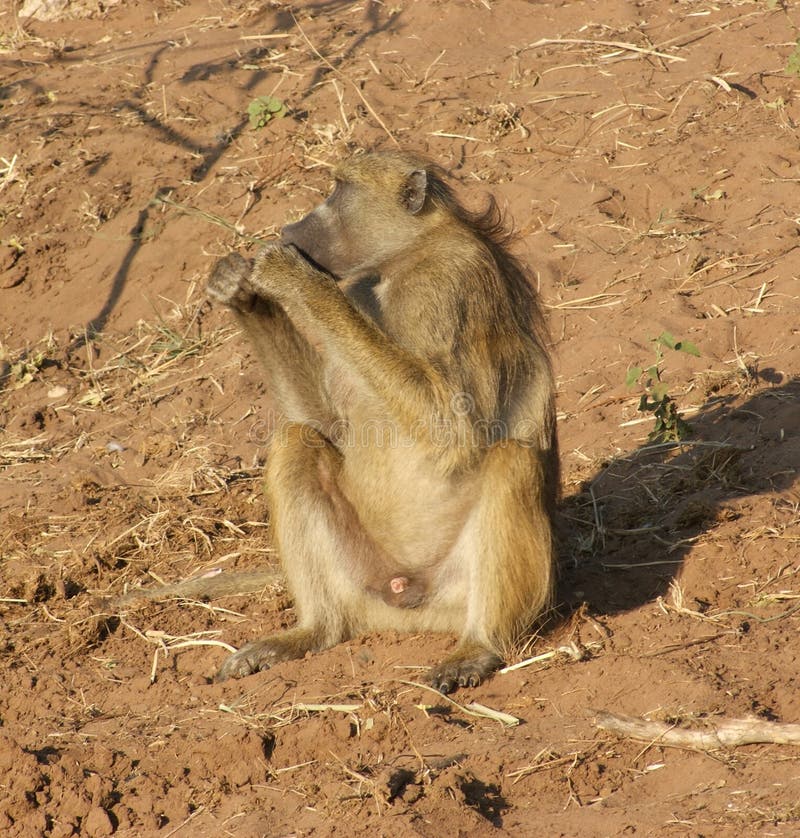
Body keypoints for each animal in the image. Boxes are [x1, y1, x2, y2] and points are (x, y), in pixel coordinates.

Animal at [140, 150, 558, 693]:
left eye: (337, 190)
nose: (292, 225)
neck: (405, 257)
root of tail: (408, 602)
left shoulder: (452, 283)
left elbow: (454, 430)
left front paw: (294, 279)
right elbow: (327, 424)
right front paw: (241, 292)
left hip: (458, 590)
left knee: (511, 458)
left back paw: (478, 647)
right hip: (364, 581)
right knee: (297, 442)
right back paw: (309, 633)